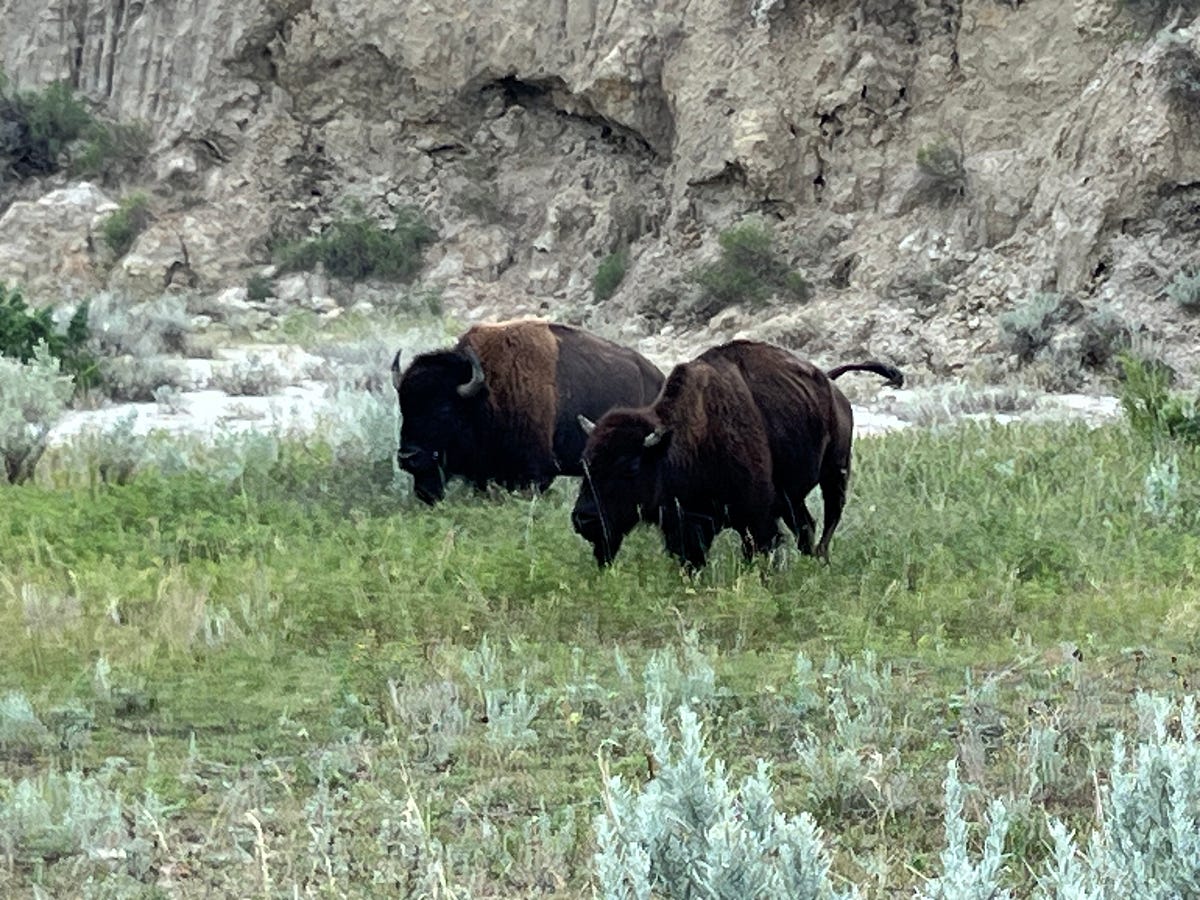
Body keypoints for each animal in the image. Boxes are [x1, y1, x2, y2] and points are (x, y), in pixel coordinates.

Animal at [392, 320, 665, 504]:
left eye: (445, 408)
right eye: (403, 406)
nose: (407, 457)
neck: (487, 392)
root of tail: (659, 378)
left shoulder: (534, 475)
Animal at [571, 340, 903, 569]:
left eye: (630, 466)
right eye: (585, 465)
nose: (583, 519)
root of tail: (830, 383)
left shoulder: (757, 521)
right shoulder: (687, 526)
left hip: (835, 472)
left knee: (830, 517)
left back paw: (821, 561)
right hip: (790, 497)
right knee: (806, 525)